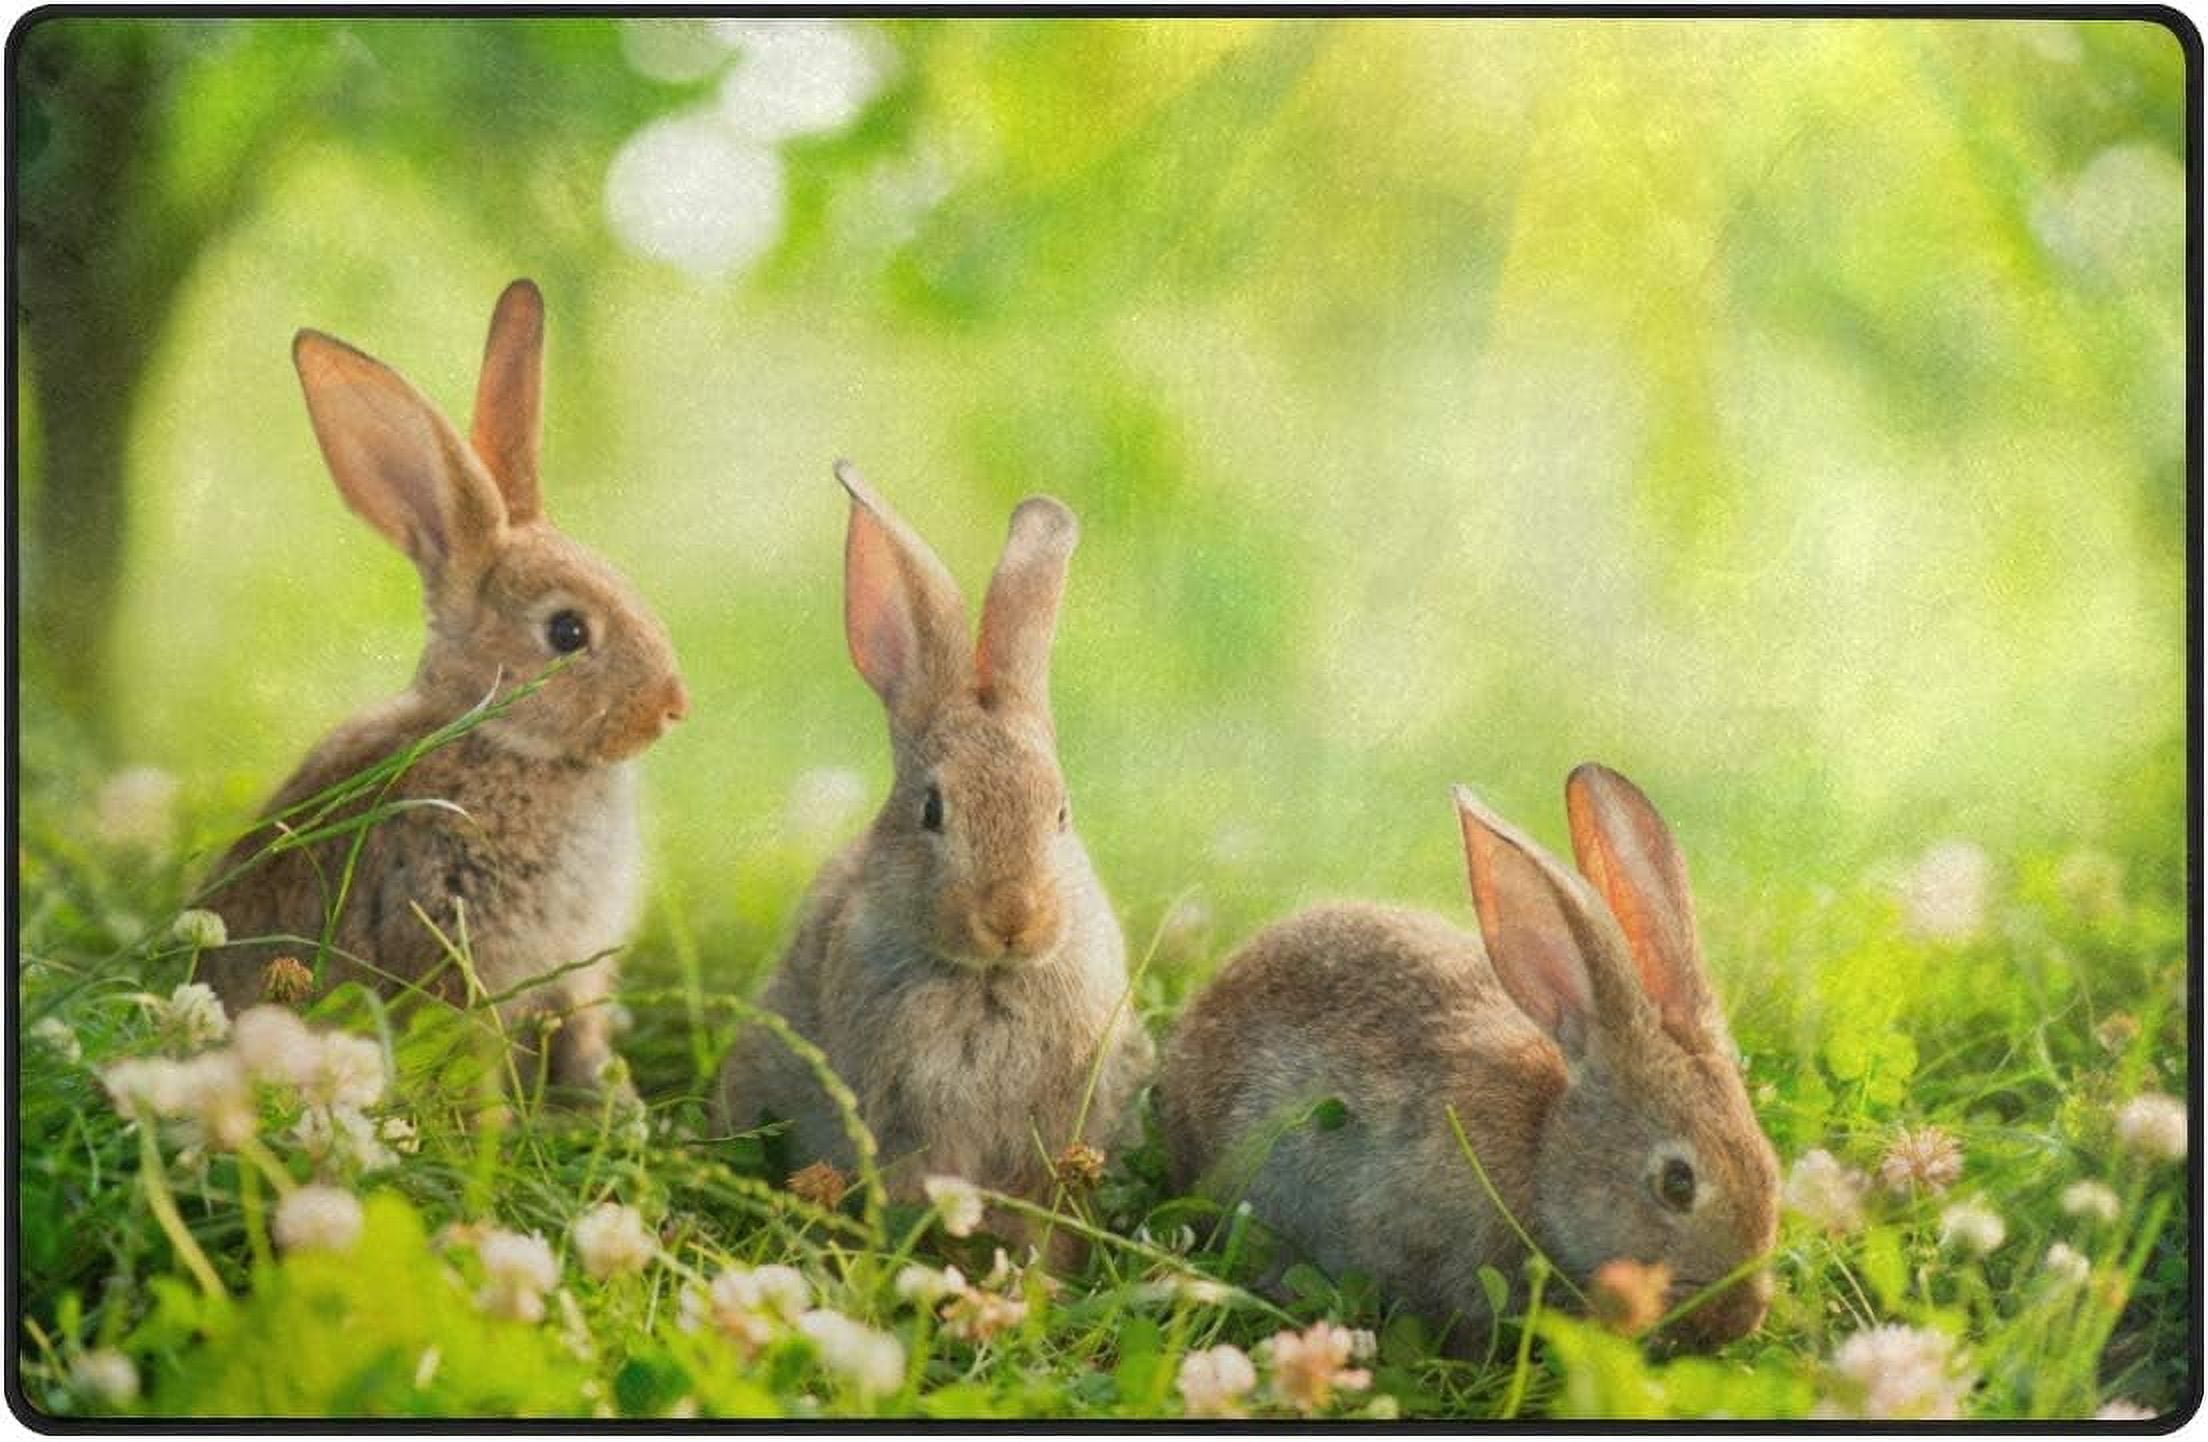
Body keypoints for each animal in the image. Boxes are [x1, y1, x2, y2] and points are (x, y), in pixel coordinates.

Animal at [196, 280, 688, 1092]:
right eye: (567, 633)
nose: (672, 709)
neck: (501, 740)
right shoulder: (449, 938)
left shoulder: (574, 974)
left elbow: (581, 1037)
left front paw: (612, 1102)